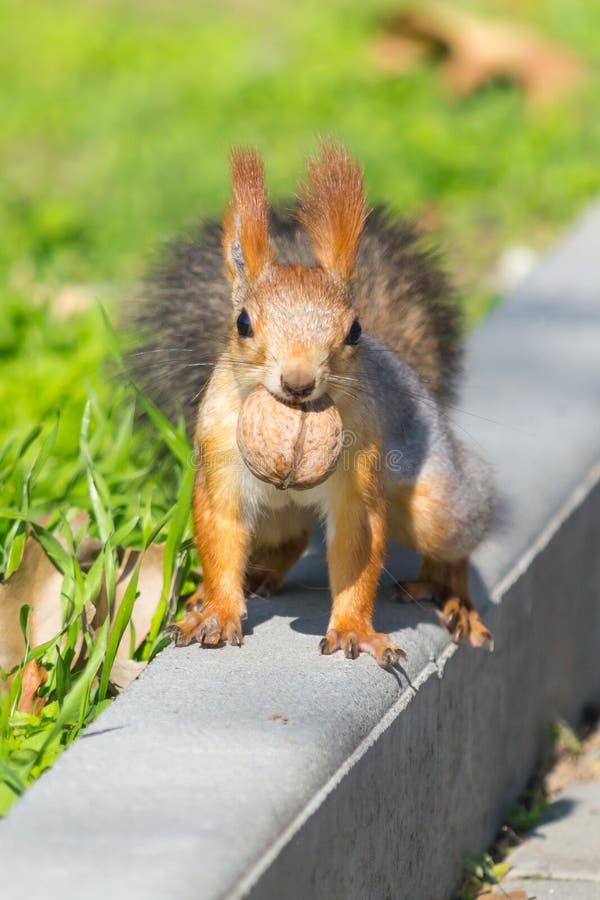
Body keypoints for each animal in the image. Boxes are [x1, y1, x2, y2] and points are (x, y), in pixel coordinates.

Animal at [131, 142, 494, 667]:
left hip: (435, 504)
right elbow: (221, 534)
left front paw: (354, 629)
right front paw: (216, 611)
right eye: (243, 323)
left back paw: (452, 593)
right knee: (290, 538)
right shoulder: (219, 456)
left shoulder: (360, 474)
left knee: (456, 537)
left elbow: (357, 550)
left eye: (355, 330)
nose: (299, 381)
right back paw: (252, 578)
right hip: (276, 517)